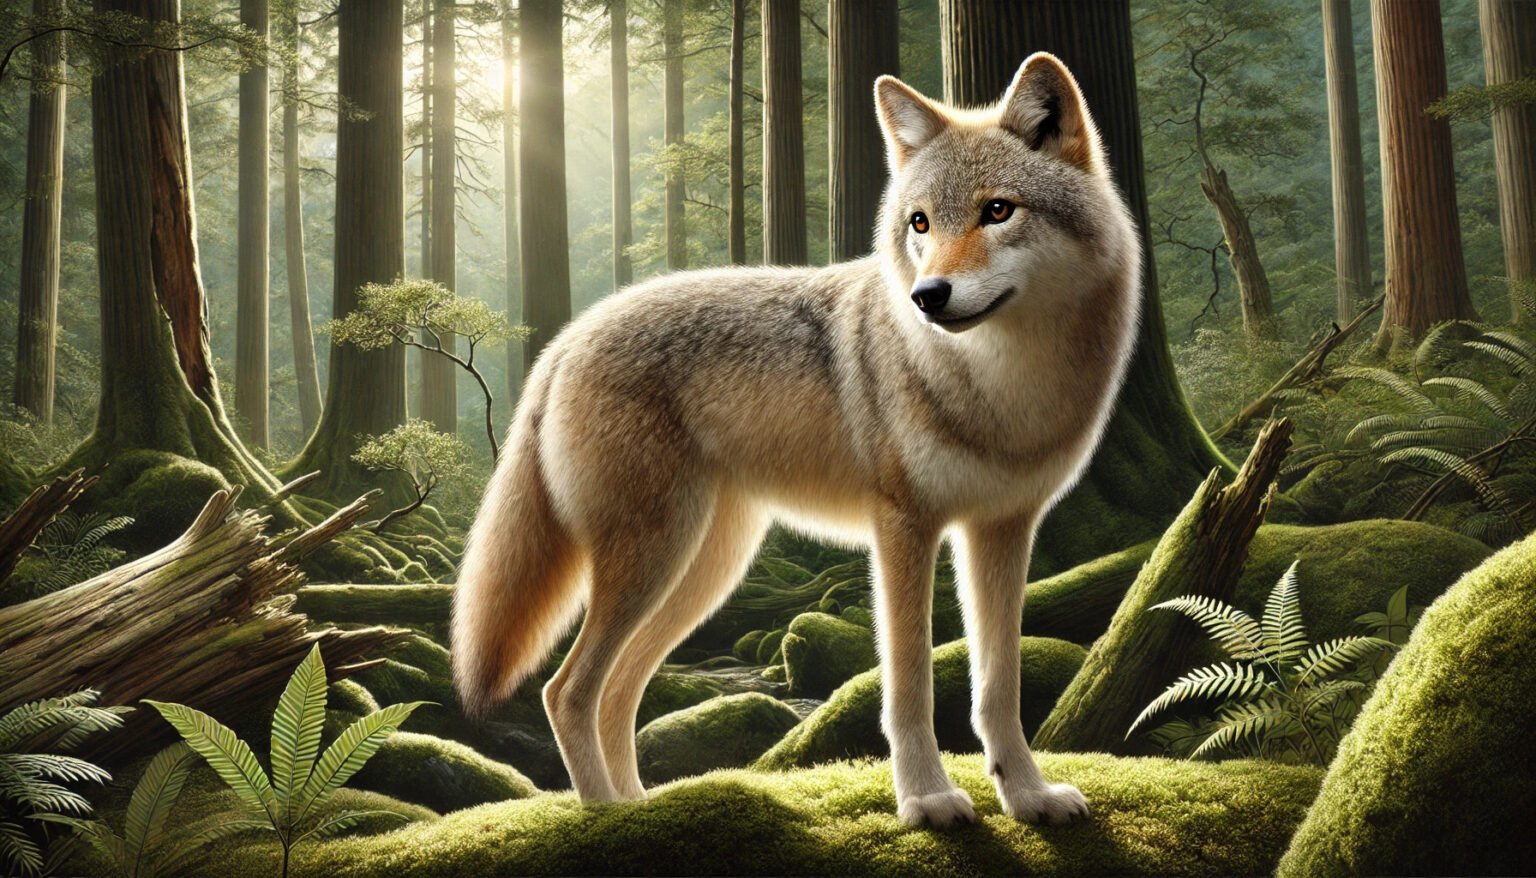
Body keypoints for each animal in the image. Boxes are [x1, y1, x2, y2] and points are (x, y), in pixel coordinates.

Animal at [452, 52, 1140, 828]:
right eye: (921, 223)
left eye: (998, 210)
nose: (927, 296)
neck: (998, 387)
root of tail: (567, 338)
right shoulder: (904, 529)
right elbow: (909, 685)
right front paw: (927, 800)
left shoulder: (1002, 531)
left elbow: (998, 688)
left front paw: (1027, 797)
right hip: (656, 560)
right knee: (567, 690)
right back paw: (609, 818)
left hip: (701, 571)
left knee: (617, 691)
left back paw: (642, 806)